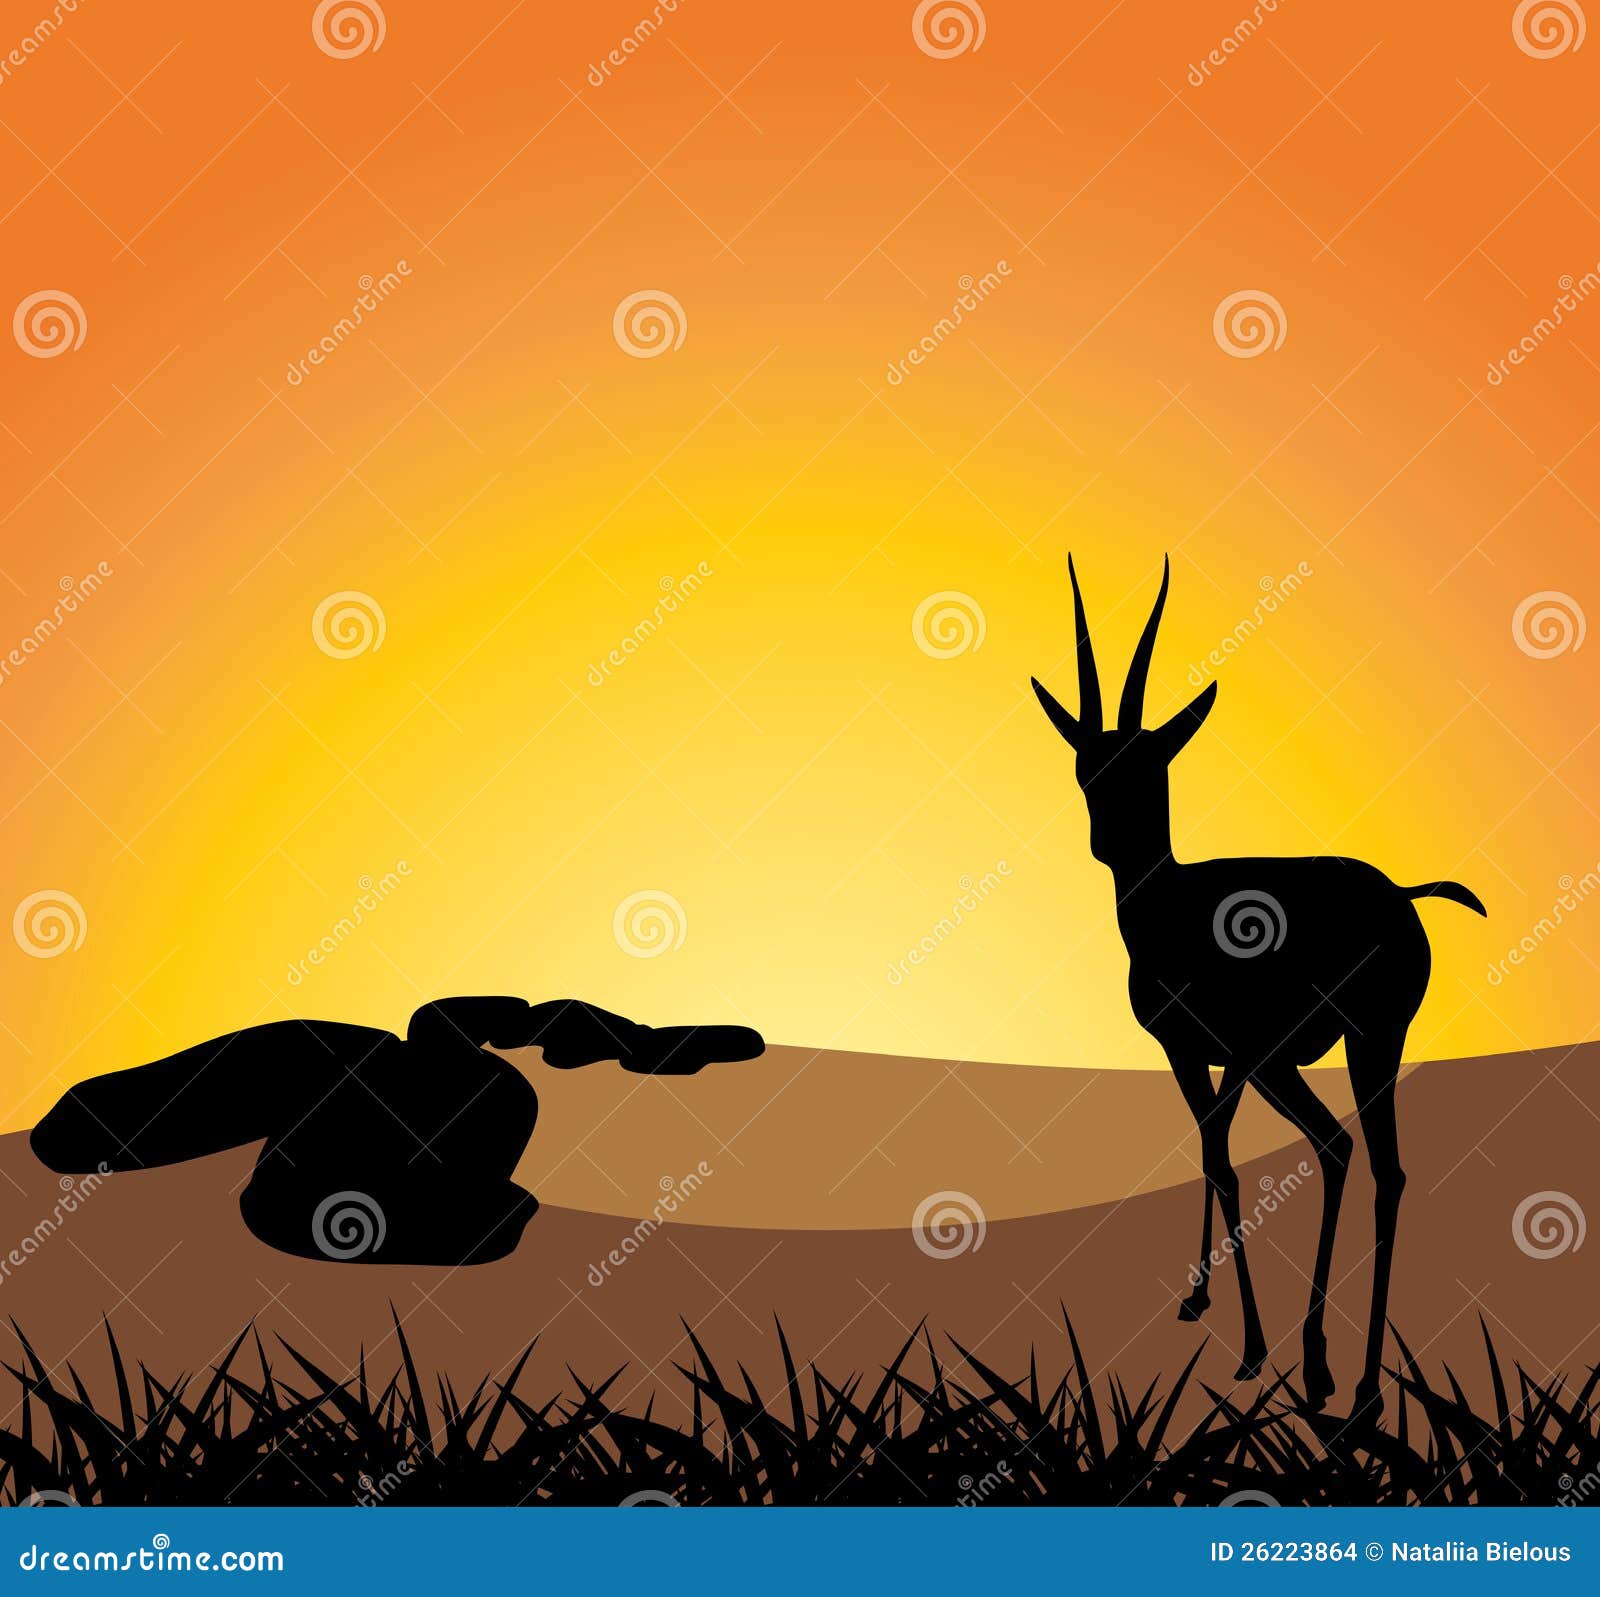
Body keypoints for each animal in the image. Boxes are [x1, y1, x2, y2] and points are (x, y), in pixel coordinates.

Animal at [1030, 554, 1485, 1414]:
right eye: (1084, 767)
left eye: (1150, 765)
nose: (1108, 841)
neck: (1170, 905)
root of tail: (1402, 893)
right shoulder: (1190, 1052)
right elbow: (1212, 1156)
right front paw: (1198, 1299)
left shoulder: (1238, 1051)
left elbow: (1229, 1161)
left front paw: (1248, 1348)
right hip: (1305, 1062)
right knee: (1348, 1152)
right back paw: (1335, 1372)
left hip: (1357, 1045)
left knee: (1369, 1161)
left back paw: (1346, 1380)